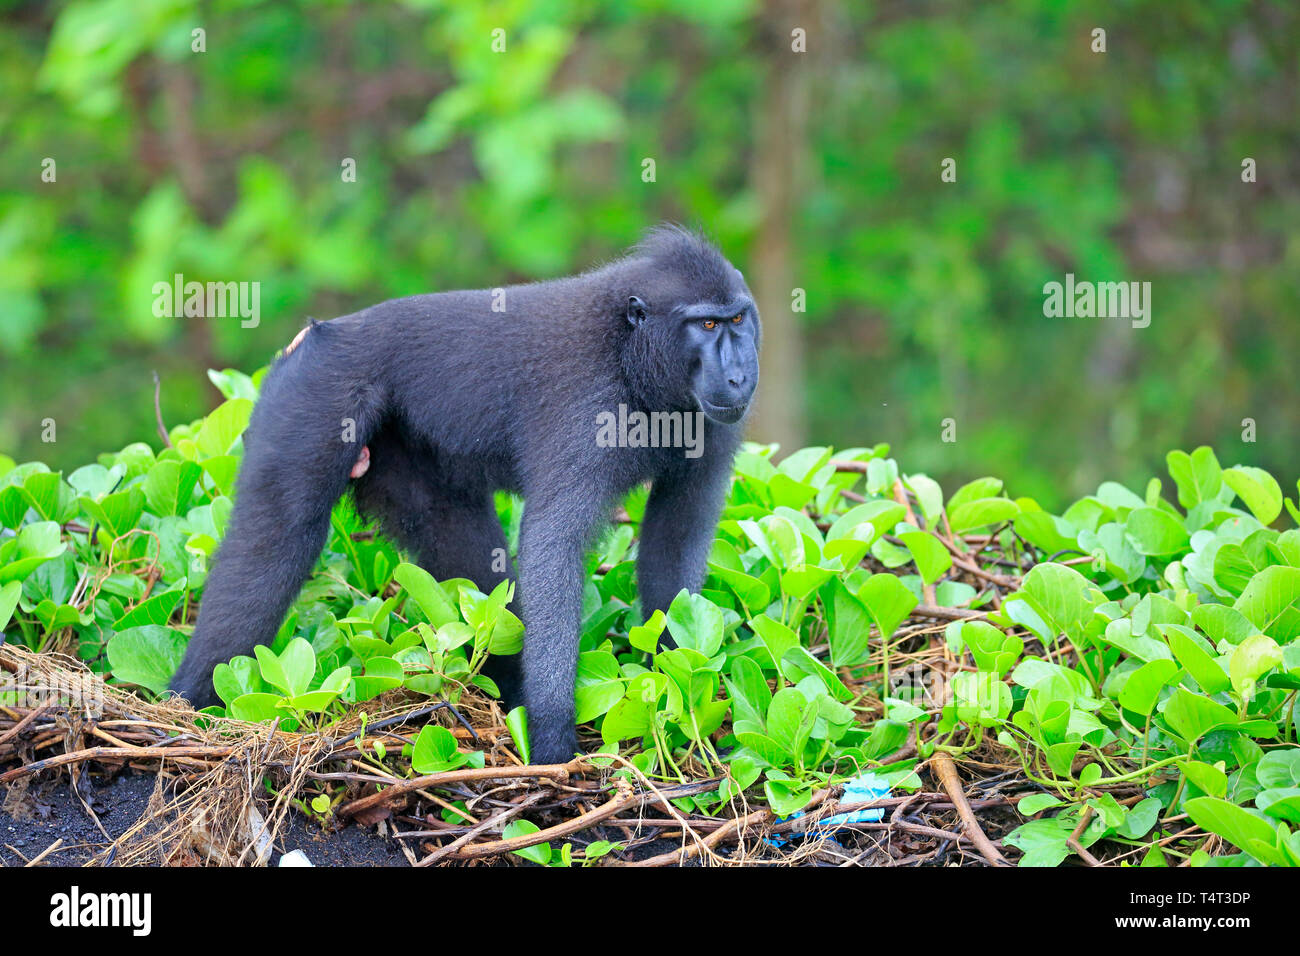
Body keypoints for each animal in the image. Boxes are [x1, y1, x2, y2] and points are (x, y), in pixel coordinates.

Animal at [167, 225, 761, 764]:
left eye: (737, 319)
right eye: (706, 324)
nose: (739, 376)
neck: (630, 355)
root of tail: (318, 335)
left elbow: (675, 540)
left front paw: (681, 691)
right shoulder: (589, 407)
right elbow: (553, 547)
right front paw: (552, 741)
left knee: (456, 540)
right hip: (313, 396)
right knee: (277, 538)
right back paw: (185, 710)